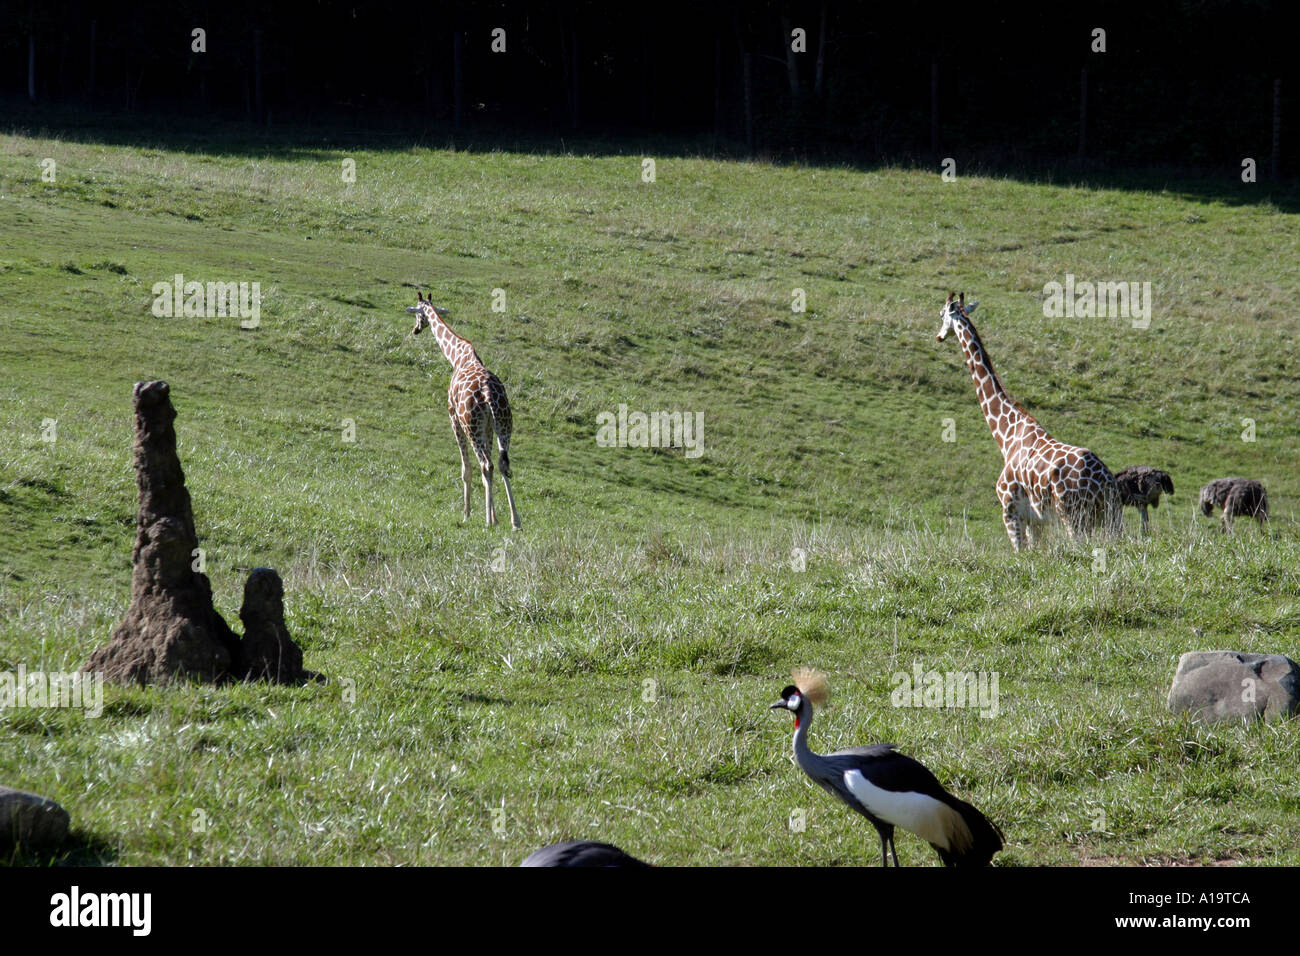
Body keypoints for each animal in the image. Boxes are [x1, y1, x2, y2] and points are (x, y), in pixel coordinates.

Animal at [407, 292, 522, 529]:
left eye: (418, 313)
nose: (415, 330)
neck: (458, 356)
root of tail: (488, 394)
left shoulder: (453, 417)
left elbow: (466, 469)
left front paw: (467, 514)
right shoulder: (488, 428)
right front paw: (496, 517)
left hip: (471, 425)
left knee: (486, 464)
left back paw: (487, 522)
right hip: (503, 424)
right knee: (501, 463)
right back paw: (516, 521)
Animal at [935, 292, 1121, 551]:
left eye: (942, 314)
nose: (939, 336)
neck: (1006, 435)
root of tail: (1104, 481)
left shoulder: (1010, 511)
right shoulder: (1035, 521)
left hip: (1074, 517)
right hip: (1111, 517)